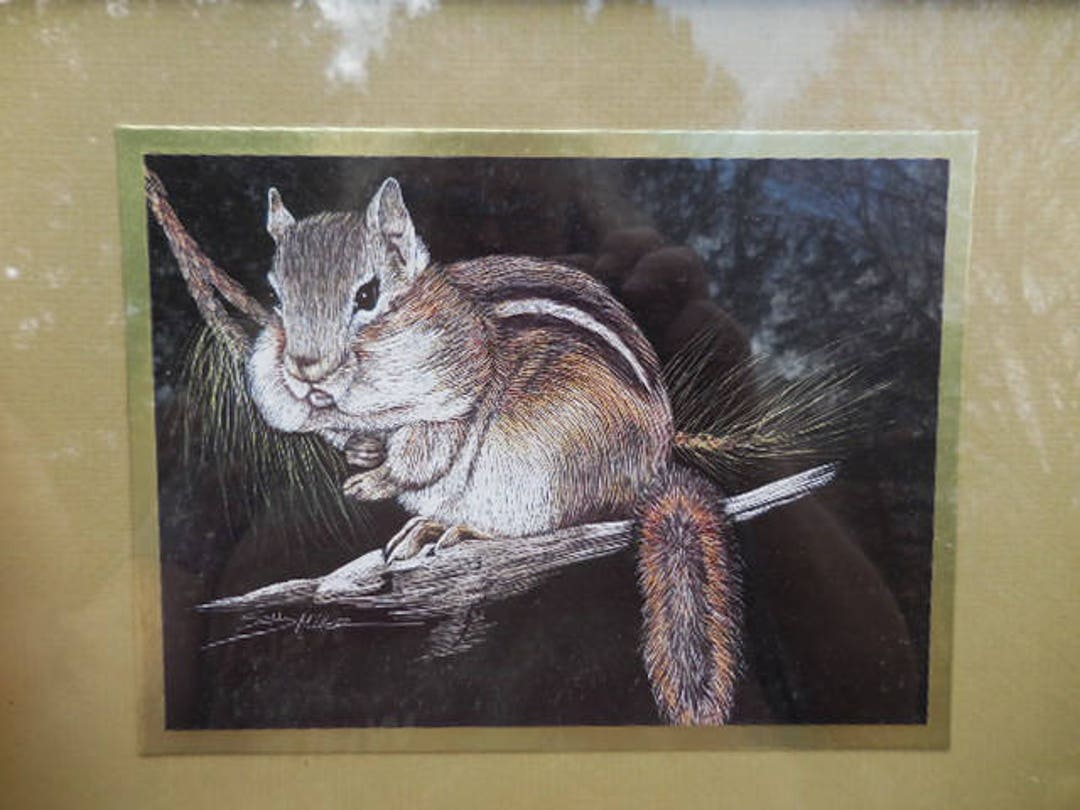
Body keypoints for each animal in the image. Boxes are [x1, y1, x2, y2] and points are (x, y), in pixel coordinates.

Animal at [247, 177, 743, 725]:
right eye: (274, 296)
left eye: (367, 294)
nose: (305, 370)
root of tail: (653, 473)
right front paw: (360, 452)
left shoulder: (452, 405)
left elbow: (423, 454)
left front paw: (373, 480)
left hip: (545, 471)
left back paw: (460, 531)